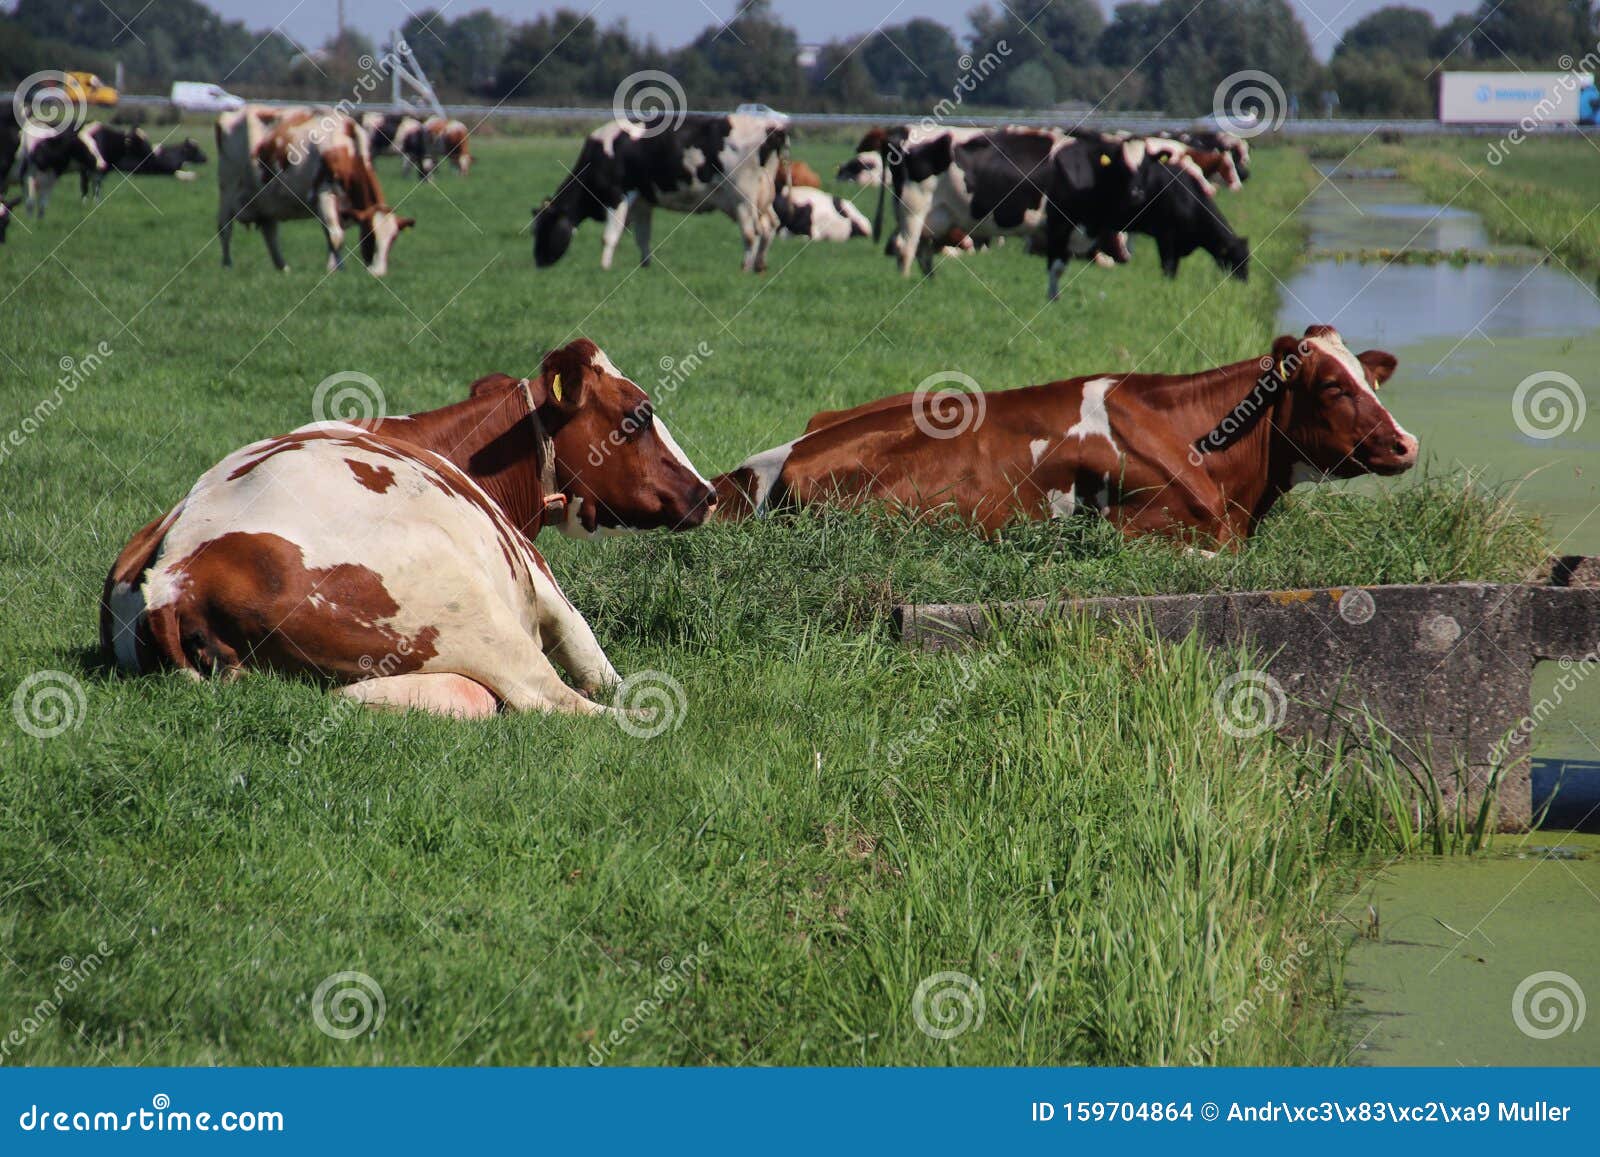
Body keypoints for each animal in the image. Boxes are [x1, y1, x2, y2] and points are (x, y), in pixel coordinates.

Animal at [100, 338, 717, 719]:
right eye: (639, 414)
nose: (708, 494)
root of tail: (172, 577)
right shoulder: (540, 580)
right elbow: (594, 660)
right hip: (473, 609)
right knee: (559, 702)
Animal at [216, 106, 414, 276]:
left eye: (393, 240)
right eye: (368, 236)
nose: (378, 273)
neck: (345, 147)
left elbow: (332, 235)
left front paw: (335, 267)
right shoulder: (324, 194)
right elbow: (335, 236)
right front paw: (336, 270)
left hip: (265, 201)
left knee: (270, 233)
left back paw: (283, 268)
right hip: (227, 186)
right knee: (225, 227)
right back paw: (227, 265)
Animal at [533, 114, 787, 274]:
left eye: (544, 226)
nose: (538, 261)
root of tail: (770, 127)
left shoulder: (617, 196)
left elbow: (609, 236)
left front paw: (604, 267)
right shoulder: (643, 202)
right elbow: (642, 237)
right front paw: (645, 266)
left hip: (742, 196)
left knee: (752, 233)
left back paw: (745, 267)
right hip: (763, 199)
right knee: (770, 227)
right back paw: (759, 266)